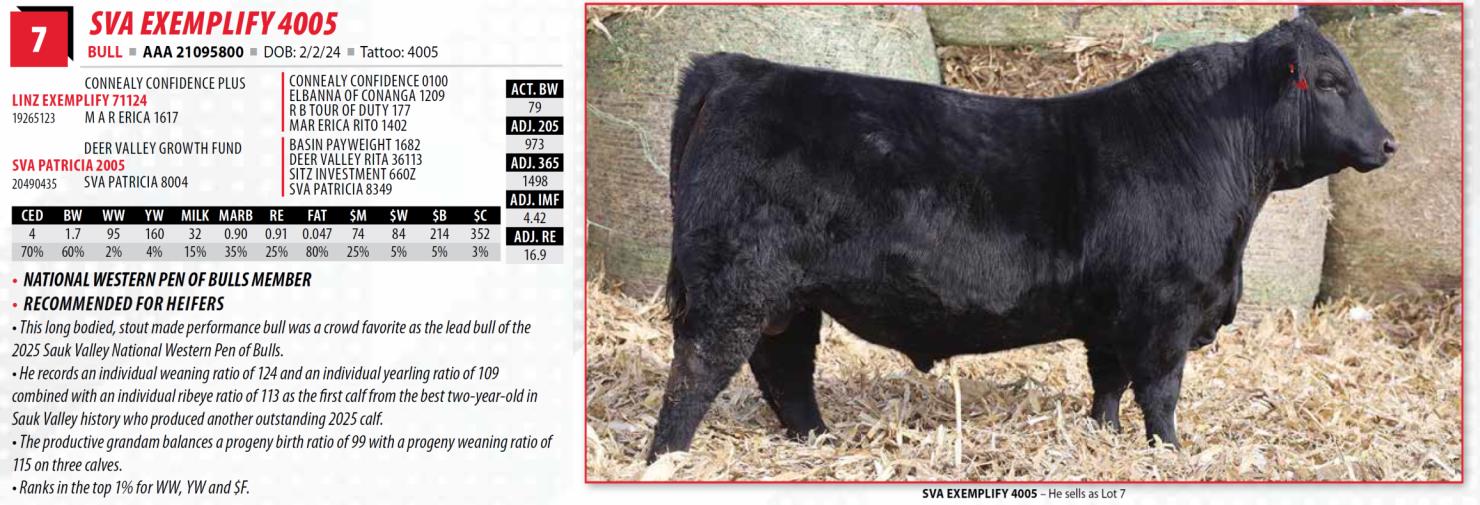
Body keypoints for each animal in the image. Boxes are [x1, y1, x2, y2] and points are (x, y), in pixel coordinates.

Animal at [646, 15, 1395, 462]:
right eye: (1331, 81)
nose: (1388, 142)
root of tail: (736, 69)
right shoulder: (1166, 310)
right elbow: (1160, 389)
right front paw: (1170, 452)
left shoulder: (1113, 314)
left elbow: (1108, 382)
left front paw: (1104, 435)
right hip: (735, 287)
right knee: (698, 371)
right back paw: (669, 457)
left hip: (791, 296)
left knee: (784, 370)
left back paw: (819, 442)